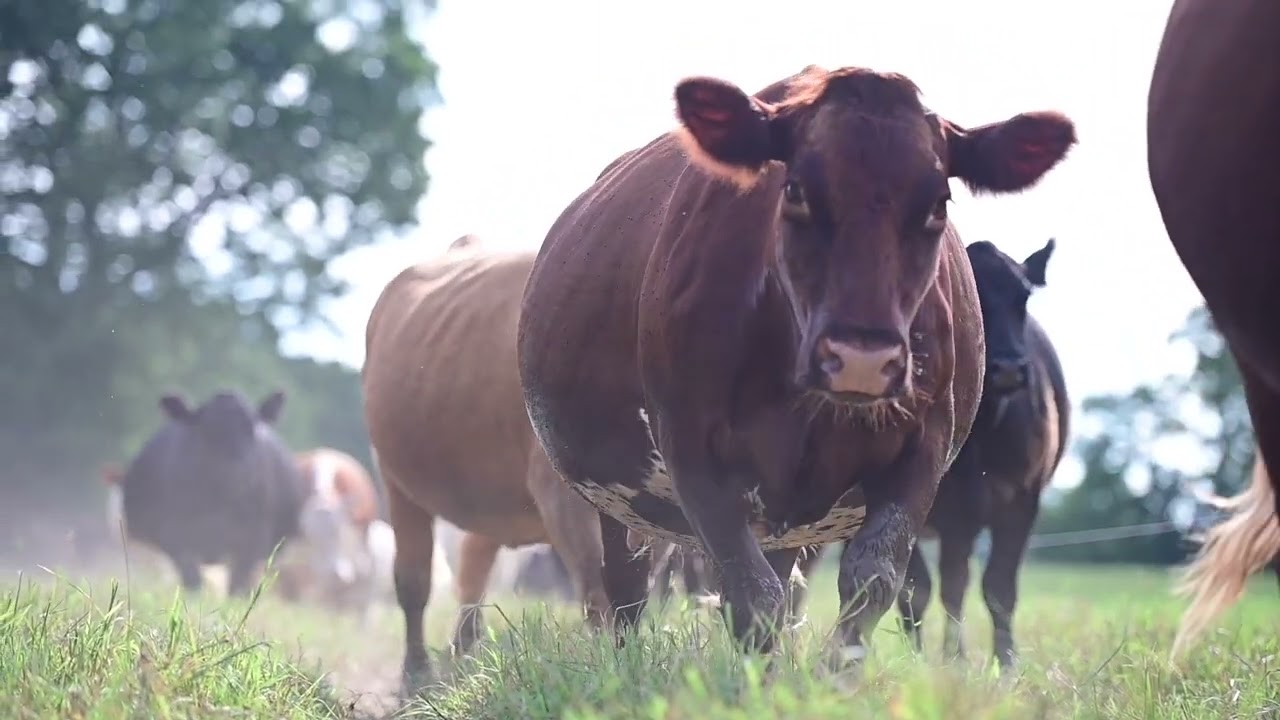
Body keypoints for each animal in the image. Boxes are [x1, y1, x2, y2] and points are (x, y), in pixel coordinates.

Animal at [116, 390, 308, 596]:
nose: (237, 470)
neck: (219, 499)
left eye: (251, 429)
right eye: (207, 430)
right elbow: (193, 581)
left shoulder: (254, 539)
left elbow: (237, 585)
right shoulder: (175, 536)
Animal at [362, 241, 620, 689]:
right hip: (396, 481)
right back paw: (416, 674)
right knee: (414, 579)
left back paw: (461, 654)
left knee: (473, 566)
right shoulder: (561, 491)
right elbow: (596, 582)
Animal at [516, 63, 1076, 666]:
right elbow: (749, 593)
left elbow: (874, 581)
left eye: (937, 204)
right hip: (623, 501)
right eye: (797, 190)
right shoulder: (690, 450)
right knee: (628, 592)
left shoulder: (925, 450)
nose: (861, 359)